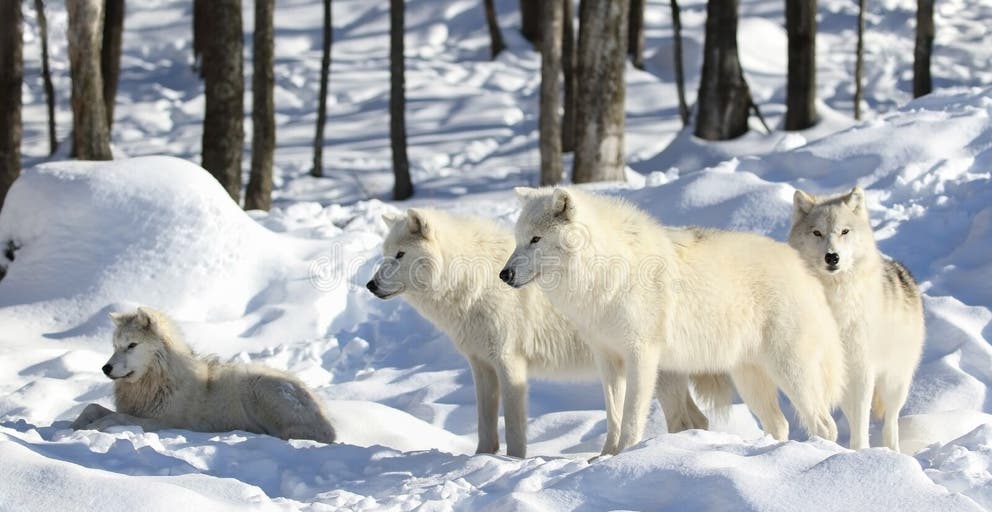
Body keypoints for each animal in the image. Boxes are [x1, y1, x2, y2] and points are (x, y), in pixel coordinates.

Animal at [70, 307, 337, 444]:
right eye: (115, 347)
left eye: (132, 345)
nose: (105, 368)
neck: (159, 380)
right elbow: (92, 407)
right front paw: (75, 424)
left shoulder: (165, 422)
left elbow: (116, 418)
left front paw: (96, 427)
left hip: (260, 387)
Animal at [366, 208, 727, 458]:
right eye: (385, 255)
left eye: (400, 255)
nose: (370, 285)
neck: (471, 280)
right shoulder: (481, 365)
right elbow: (485, 425)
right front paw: (481, 459)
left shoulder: (509, 363)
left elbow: (514, 429)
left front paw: (512, 462)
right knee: (697, 420)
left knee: (684, 420)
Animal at [503, 187, 845, 455]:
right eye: (518, 240)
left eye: (536, 239)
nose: (504, 275)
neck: (606, 270)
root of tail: (805, 272)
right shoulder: (607, 357)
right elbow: (613, 416)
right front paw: (604, 457)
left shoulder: (641, 355)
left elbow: (631, 417)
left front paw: (624, 456)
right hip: (748, 378)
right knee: (780, 423)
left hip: (790, 372)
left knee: (824, 425)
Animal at [790, 187, 925, 452]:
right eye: (817, 232)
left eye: (844, 231)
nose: (832, 257)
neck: (835, 300)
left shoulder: (863, 368)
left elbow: (863, 420)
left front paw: (861, 453)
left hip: (895, 381)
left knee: (890, 421)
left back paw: (892, 452)